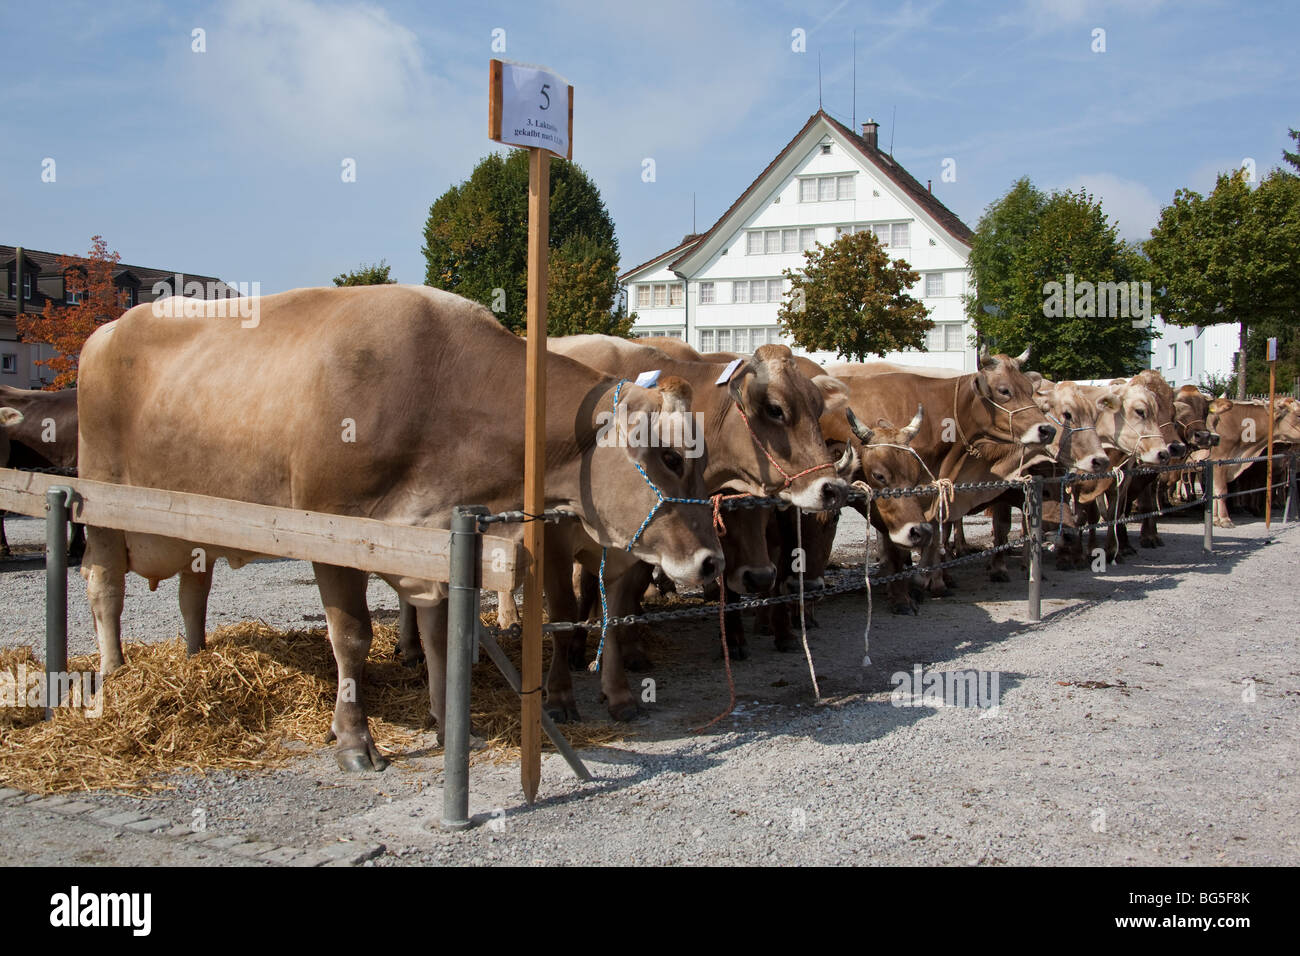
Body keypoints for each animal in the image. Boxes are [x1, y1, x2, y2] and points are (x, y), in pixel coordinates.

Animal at [76, 285, 725, 771]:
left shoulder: (435, 540)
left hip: (192, 523)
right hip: (98, 500)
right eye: (669, 455)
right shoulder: (332, 534)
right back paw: (113, 677)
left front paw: (448, 724)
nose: (711, 561)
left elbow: (441, 637)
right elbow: (352, 638)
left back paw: (195, 658)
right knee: (104, 589)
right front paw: (354, 739)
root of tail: (109, 329)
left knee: (193, 588)